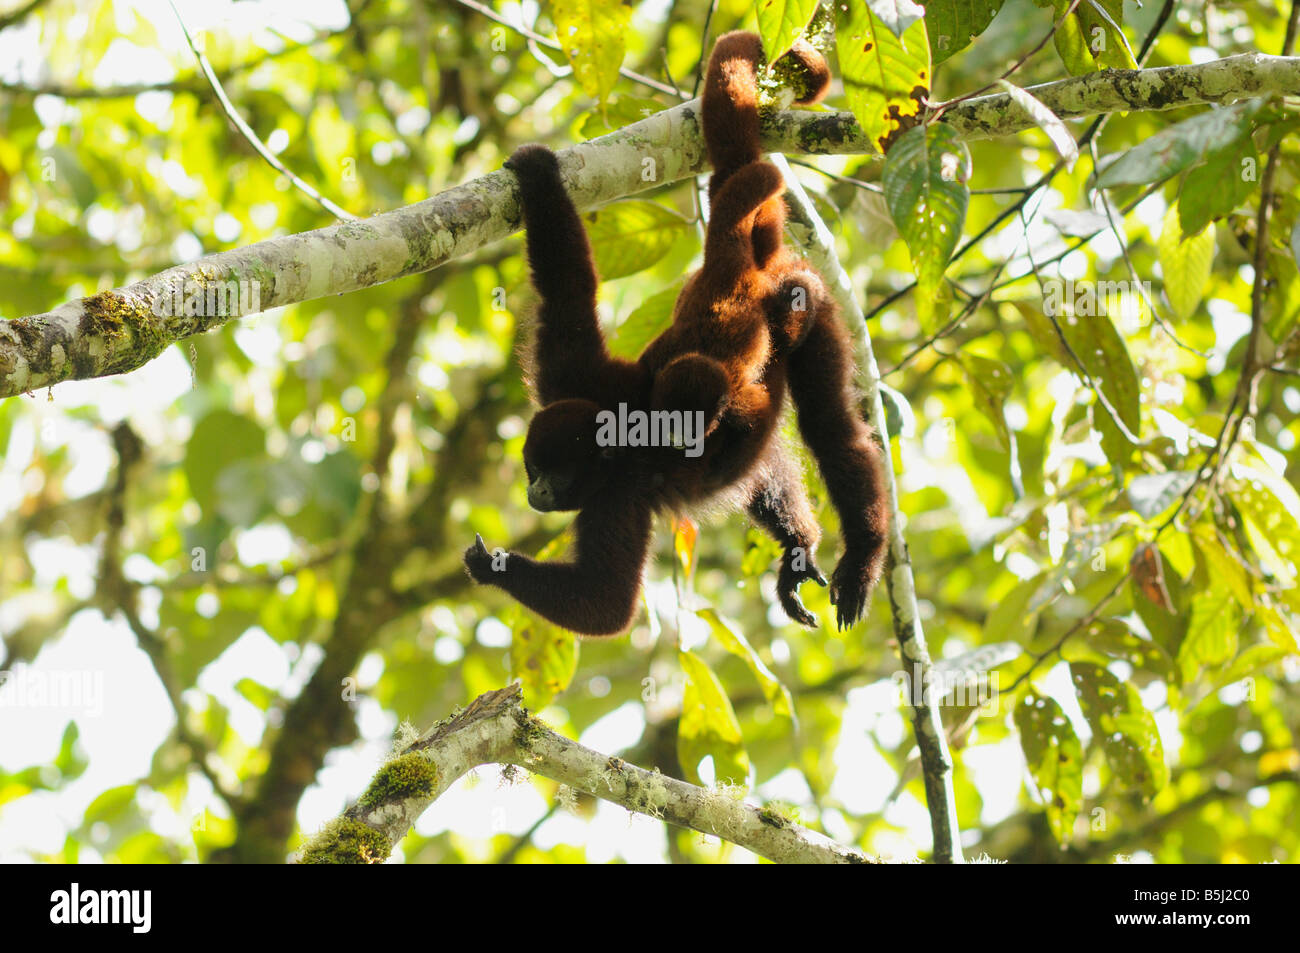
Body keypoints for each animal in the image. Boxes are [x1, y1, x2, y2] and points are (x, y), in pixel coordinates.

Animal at [464, 31, 888, 637]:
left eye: (555, 474)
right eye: (532, 467)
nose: (534, 491)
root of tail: (754, 265)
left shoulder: (617, 493)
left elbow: (606, 603)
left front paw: (488, 563)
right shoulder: (572, 379)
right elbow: (567, 292)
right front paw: (538, 173)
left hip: (811, 302)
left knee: (829, 429)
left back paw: (863, 553)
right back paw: (797, 548)